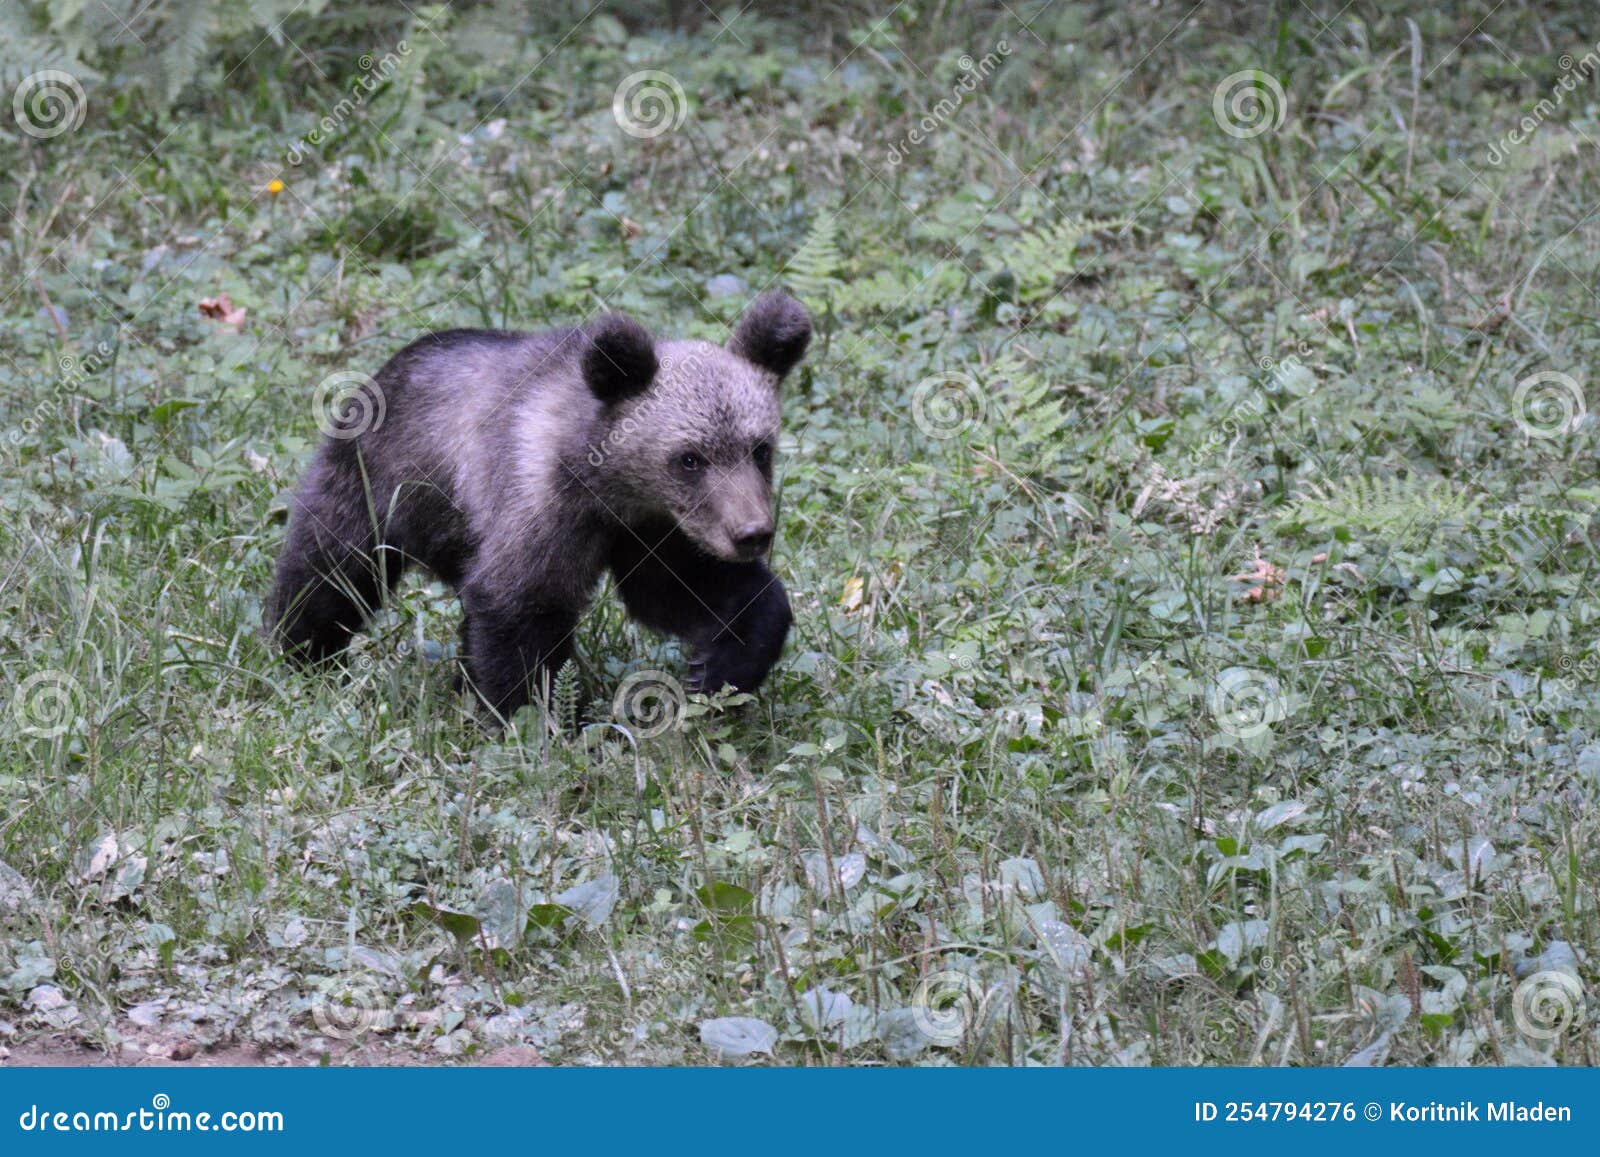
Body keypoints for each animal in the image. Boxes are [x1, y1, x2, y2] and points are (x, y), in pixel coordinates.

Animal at [265, 291, 812, 722]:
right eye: (690, 457)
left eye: (760, 449)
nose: (752, 533)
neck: (604, 486)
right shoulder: (539, 510)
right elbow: (519, 609)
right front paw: (532, 721)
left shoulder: (652, 530)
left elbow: (686, 590)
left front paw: (722, 667)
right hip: (377, 486)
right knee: (330, 571)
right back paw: (303, 652)